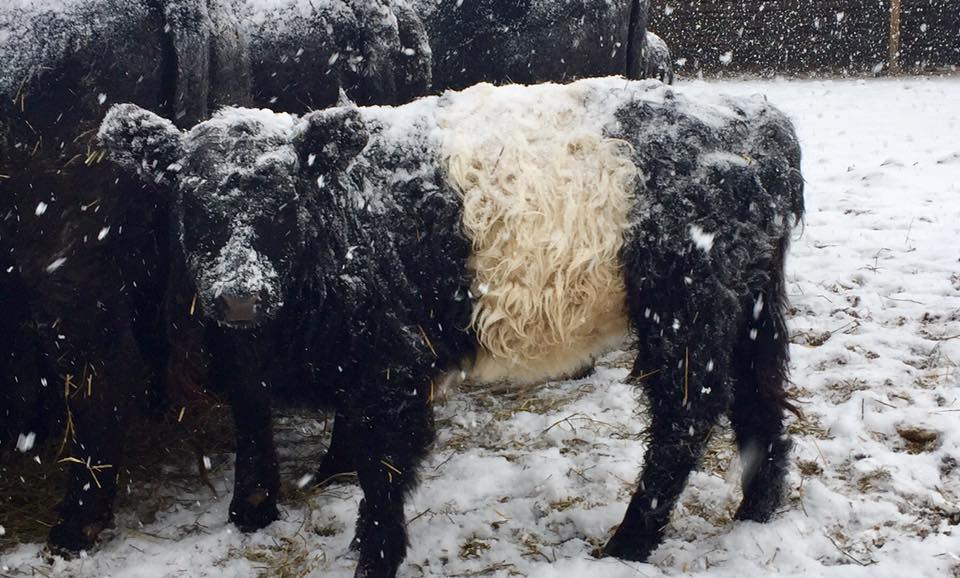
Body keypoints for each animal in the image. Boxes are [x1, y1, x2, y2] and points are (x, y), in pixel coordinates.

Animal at [99, 76, 804, 577]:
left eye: (283, 204)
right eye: (194, 206)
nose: (240, 296)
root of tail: (757, 120)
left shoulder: (393, 364)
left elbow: (384, 465)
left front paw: (375, 555)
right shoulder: (250, 357)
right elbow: (255, 423)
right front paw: (256, 511)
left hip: (685, 307)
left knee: (689, 412)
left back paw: (628, 543)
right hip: (753, 303)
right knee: (761, 397)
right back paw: (757, 512)